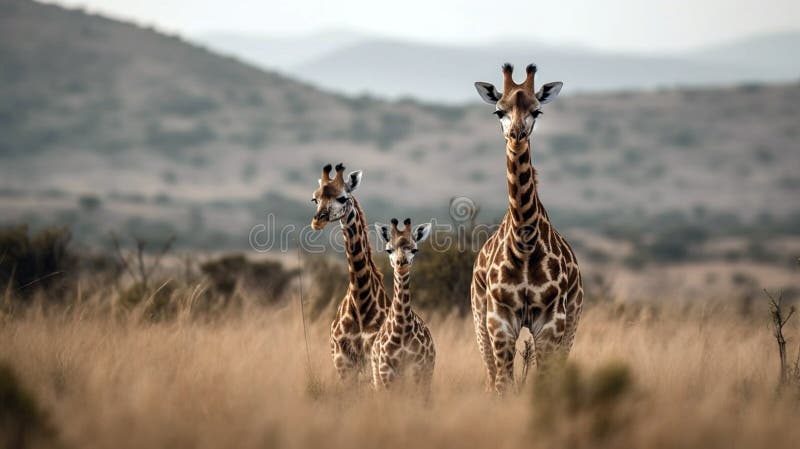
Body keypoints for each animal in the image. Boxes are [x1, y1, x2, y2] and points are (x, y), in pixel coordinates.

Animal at [371, 218, 436, 395]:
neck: (401, 328)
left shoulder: (417, 367)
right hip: (377, 375)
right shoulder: (386, 370)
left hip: (428, 372)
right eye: (388, 250)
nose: (401, 264)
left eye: (414, 250)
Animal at [471, 63, 584, 394]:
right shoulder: (499, 319)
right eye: (499, 110)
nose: (516, 134)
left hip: (573, 318)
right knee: (491, 376)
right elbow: (503, 384)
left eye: (537, 110)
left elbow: (544, 381)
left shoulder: (552, 321)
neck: (525, 241)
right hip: (479, 317)